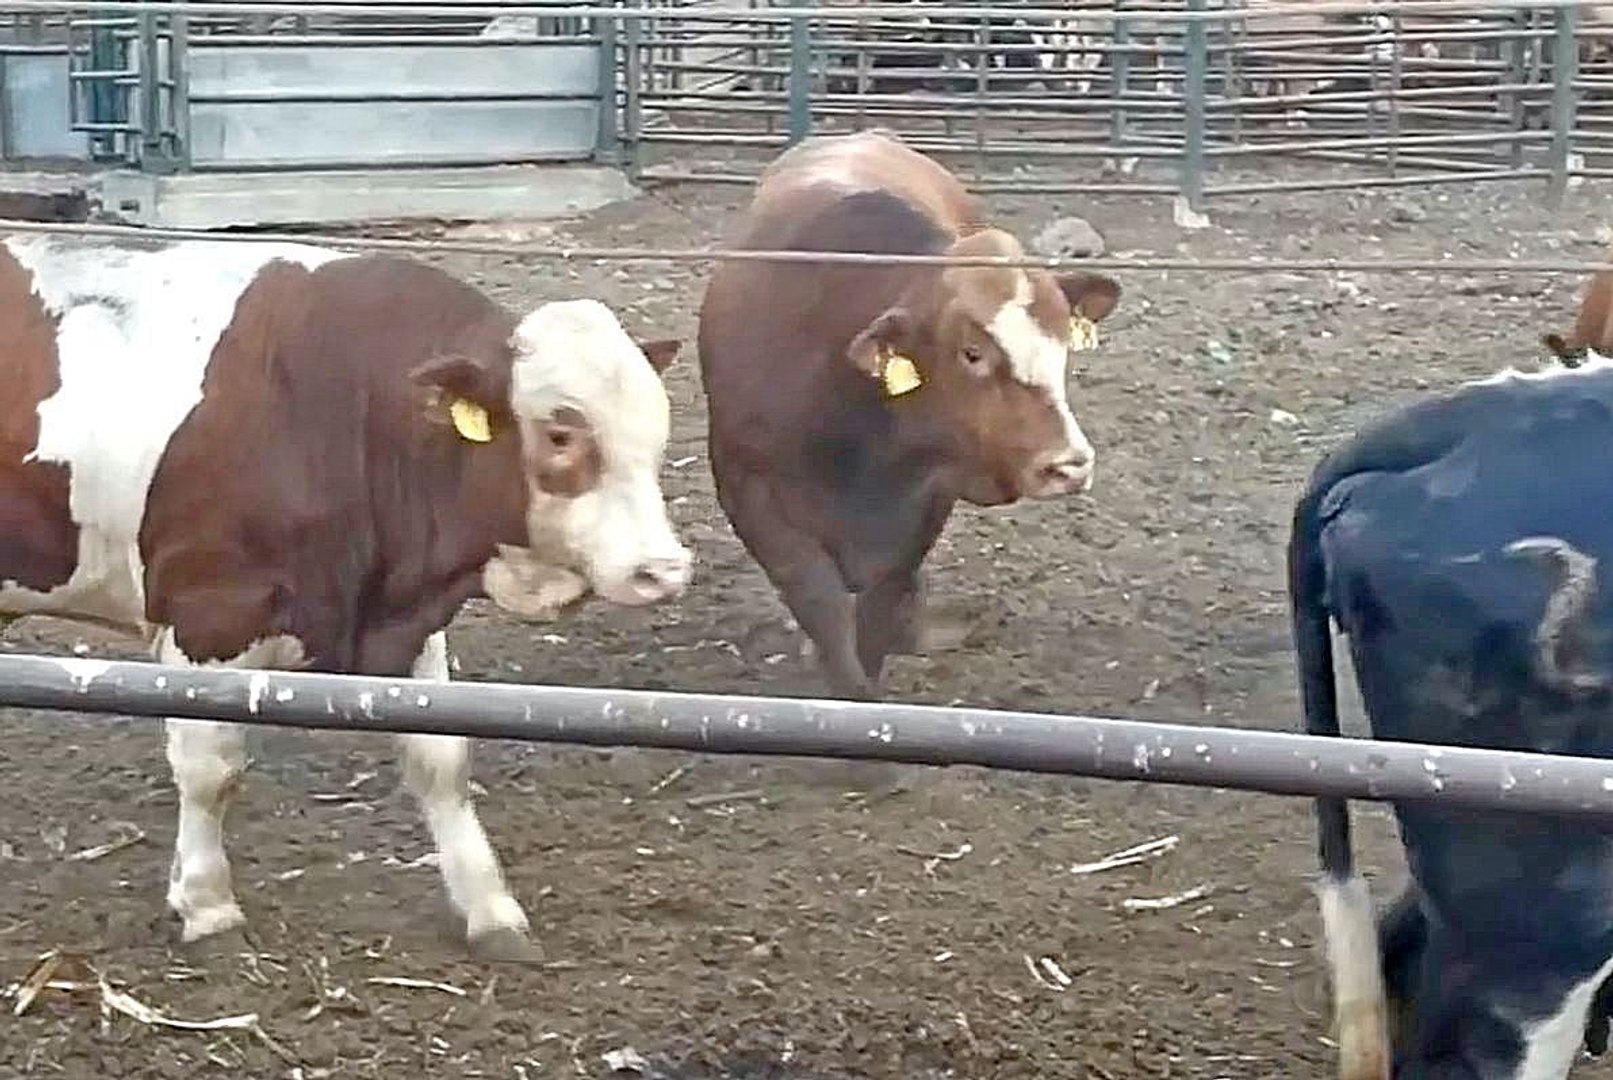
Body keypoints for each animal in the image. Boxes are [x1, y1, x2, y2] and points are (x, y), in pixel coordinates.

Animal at [0, 234, 692, 962]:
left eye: (657, 433)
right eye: (561, 434)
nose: (663, 569)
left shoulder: (409, 620)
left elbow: (441, 759)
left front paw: (491, 910)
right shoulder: (210, 613)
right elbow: (209, 769)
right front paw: (209, 905)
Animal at [697, 129, 1121, 700]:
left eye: (1061, 343)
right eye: (971, 352)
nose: (1069, 464)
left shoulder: (924, 500)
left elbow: (880, 608)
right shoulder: (749, 490)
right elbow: (820, 603)